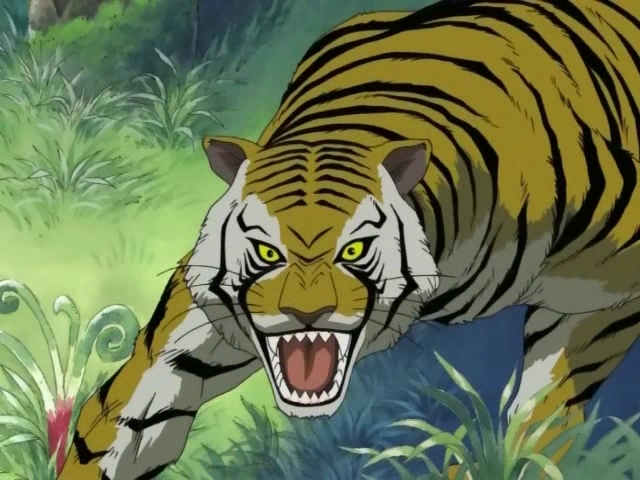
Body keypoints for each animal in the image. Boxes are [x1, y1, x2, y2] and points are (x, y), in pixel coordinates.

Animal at [58, 0, 640, 479]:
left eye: (354, 249)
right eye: (265, 250)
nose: (304, 314)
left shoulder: (600, 302)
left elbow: (541, 424)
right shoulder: (212, 301)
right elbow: (131, 403)